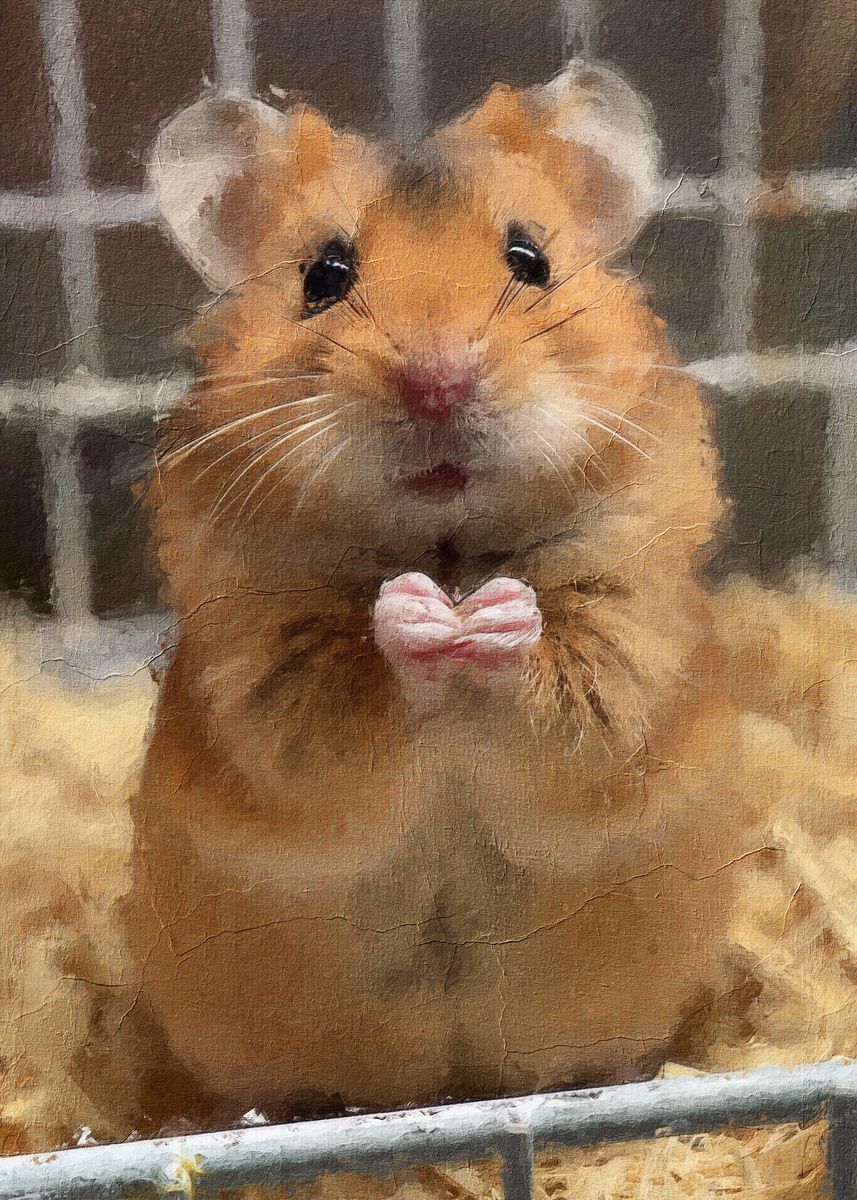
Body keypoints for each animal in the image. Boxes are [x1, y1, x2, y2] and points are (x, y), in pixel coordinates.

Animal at [110, 62, 767, 1136]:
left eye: (529, 259)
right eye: (323, 275)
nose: (436, 382)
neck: (449, 542)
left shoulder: (628, 650)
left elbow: (568, 686)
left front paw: (497, 617)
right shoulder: (268, 683)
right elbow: (350, 687)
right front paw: (418, 615)